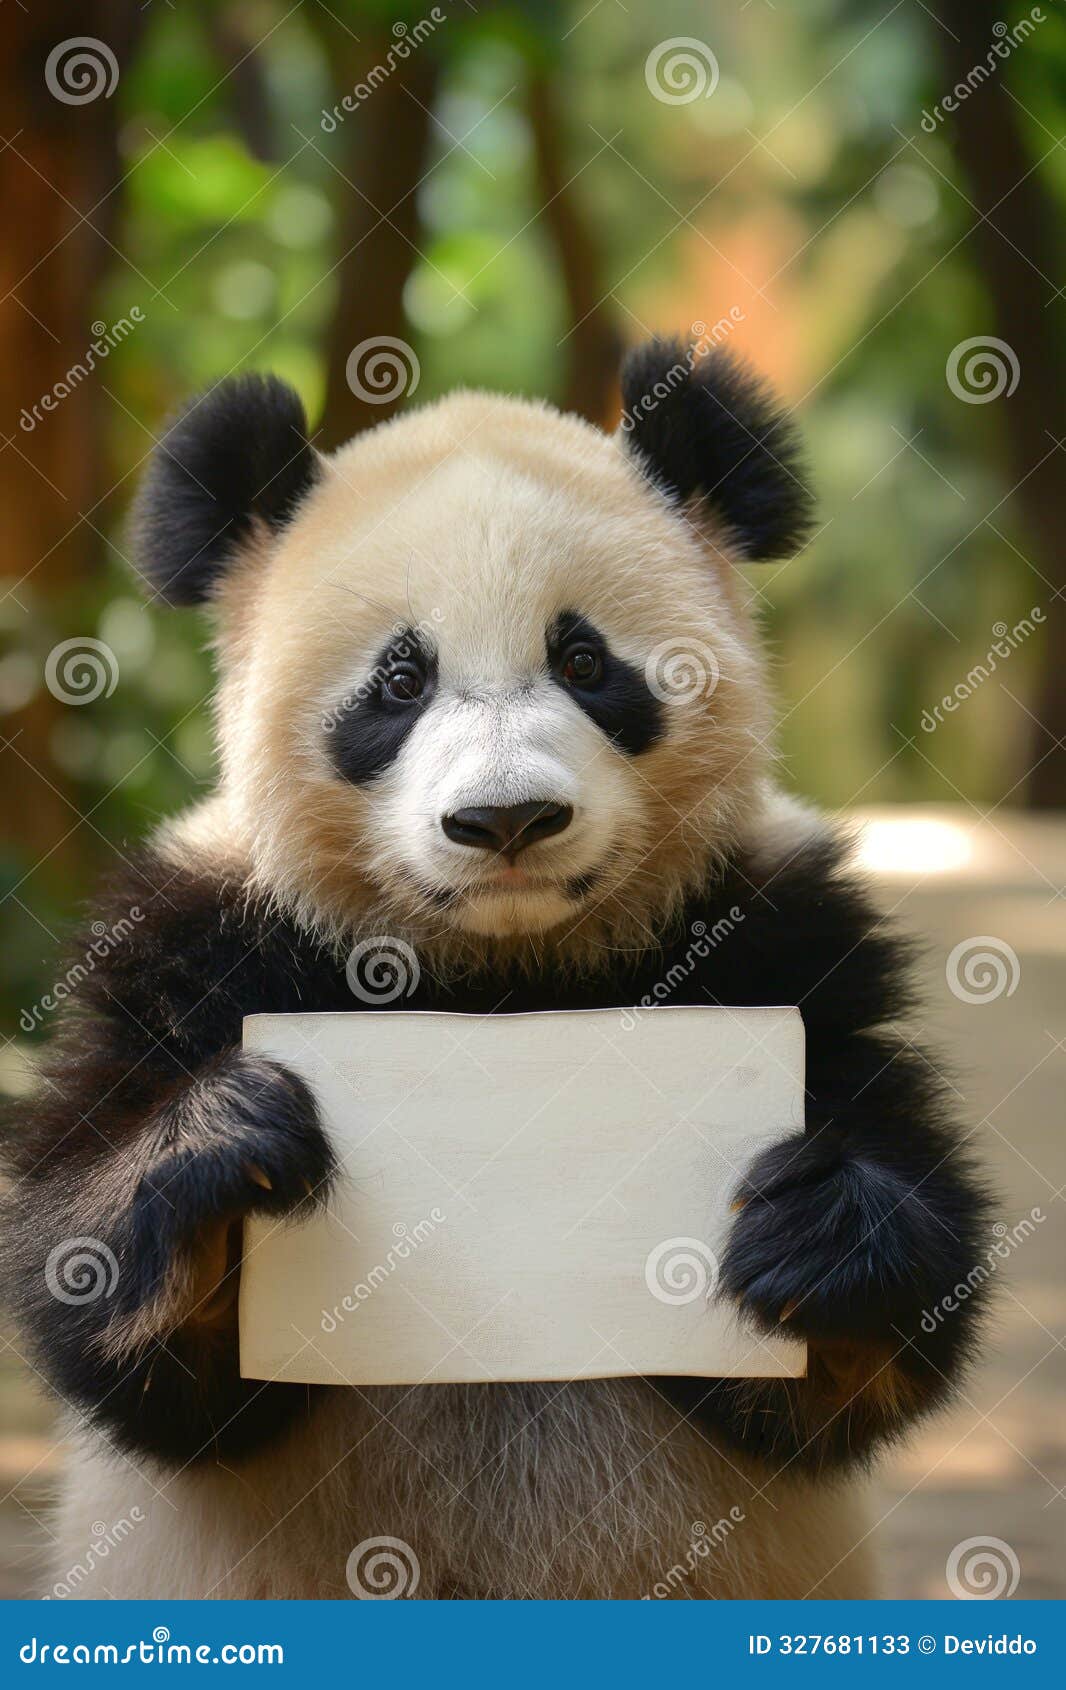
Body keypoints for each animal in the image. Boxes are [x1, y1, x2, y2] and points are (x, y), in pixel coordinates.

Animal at [2, 336, 988, 1601]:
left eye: (585, 660)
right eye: (398, 682)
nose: (507, 819)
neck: (500, 969)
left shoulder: (788, 934)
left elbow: (856, 1366)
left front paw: (819, 1225)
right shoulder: (194, 942)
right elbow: (112, 1323)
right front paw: (221, 1142)